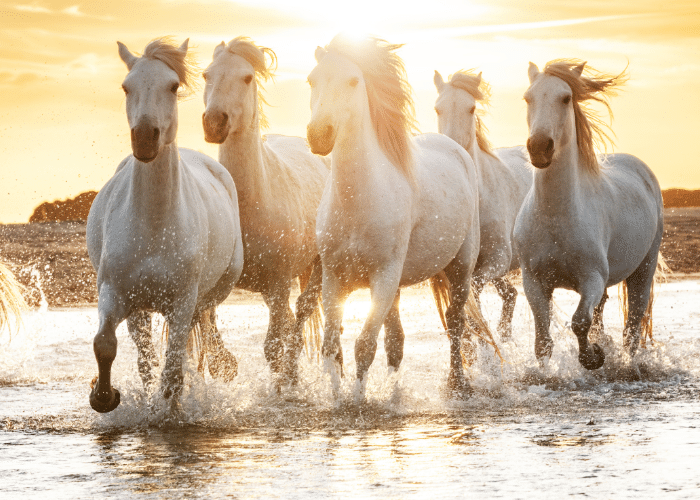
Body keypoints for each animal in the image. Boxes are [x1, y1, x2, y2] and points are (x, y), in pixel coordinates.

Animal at [86, 38, 244, 413]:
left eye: (172, 86)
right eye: (126, 86)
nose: (145, 138)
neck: (155, 225)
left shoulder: (182, 302)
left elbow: (173, 369)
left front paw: (171, 411)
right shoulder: (115, 293)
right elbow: (106, 344)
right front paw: (105, 396)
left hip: (212, 291)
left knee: (203, 329)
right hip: (141, 308)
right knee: (148, 352)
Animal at [202, 37, 329, 384]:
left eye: (246, 78)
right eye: (206, 75)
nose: (214, 123)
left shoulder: (279, 283)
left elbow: (273, 346)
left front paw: (282, 386)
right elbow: (208, 323)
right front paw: (223, 364)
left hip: (313, 270)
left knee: (301, 313)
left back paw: (293, 374)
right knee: (290, 318)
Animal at [307, 34, 483, 398]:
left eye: (353, 81)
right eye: (311, 80)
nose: (319, 134)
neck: (358, 201)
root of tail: (456, 149)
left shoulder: (384, 278)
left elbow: (364, 345)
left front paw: (357, 399)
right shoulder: (333, 279)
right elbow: (332, 346)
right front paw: (336, 396)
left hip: (460, 268)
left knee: (455, 322)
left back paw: (457, 382)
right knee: (396, 340)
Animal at [434, 70, 532, 340]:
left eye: (471, 108)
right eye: (437, 108)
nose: (453, 149)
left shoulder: (498, 258)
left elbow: (474, 292)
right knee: (511, 294)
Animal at [514, 60, 663, 370]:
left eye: (565, 98)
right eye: (527, 98)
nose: (539, 147)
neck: (556, 216)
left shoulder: (591, 279)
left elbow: (579, 322)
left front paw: (593, 356)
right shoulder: (533, 282)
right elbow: (543, 340)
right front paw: (546, 374)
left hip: (644, 268)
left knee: (633, 325)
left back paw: (627, 363)